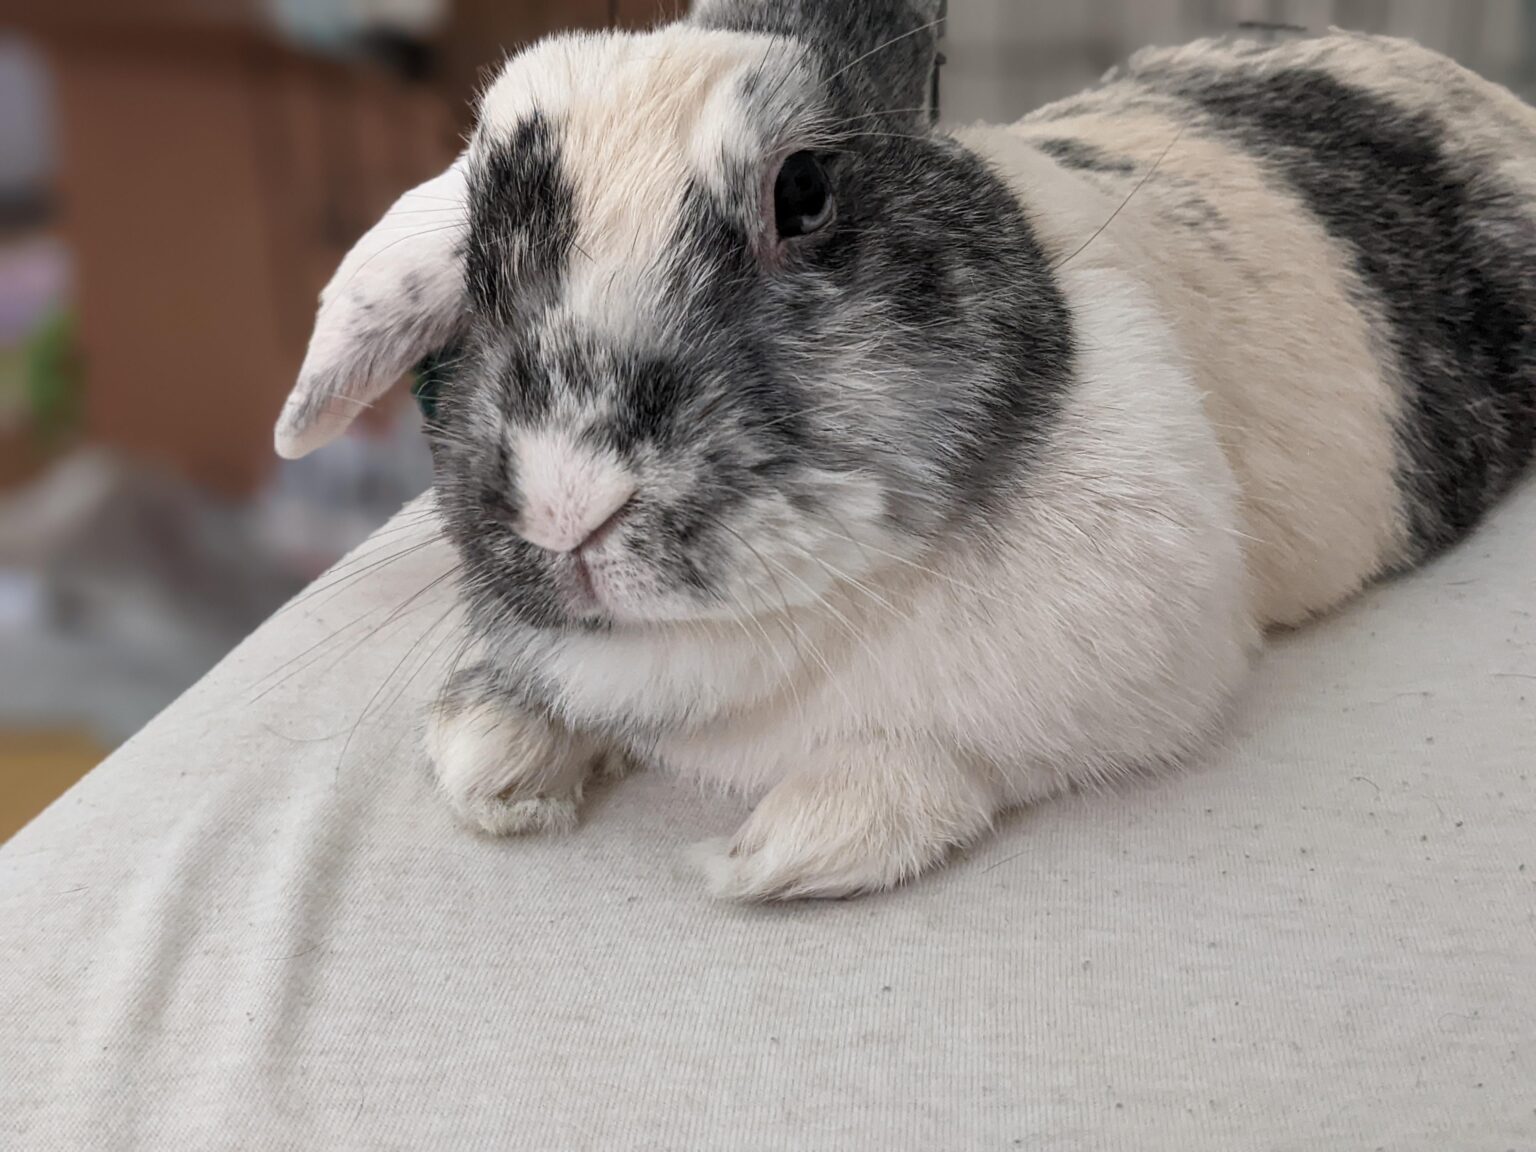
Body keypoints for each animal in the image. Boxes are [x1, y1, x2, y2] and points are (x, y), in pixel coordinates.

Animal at [274, 1, 1536, 901]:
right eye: (477, 267)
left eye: (805, 191)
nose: (566, 508)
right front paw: (493, 761)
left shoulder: (1128, 668)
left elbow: (940, 763)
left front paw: (775, 854)